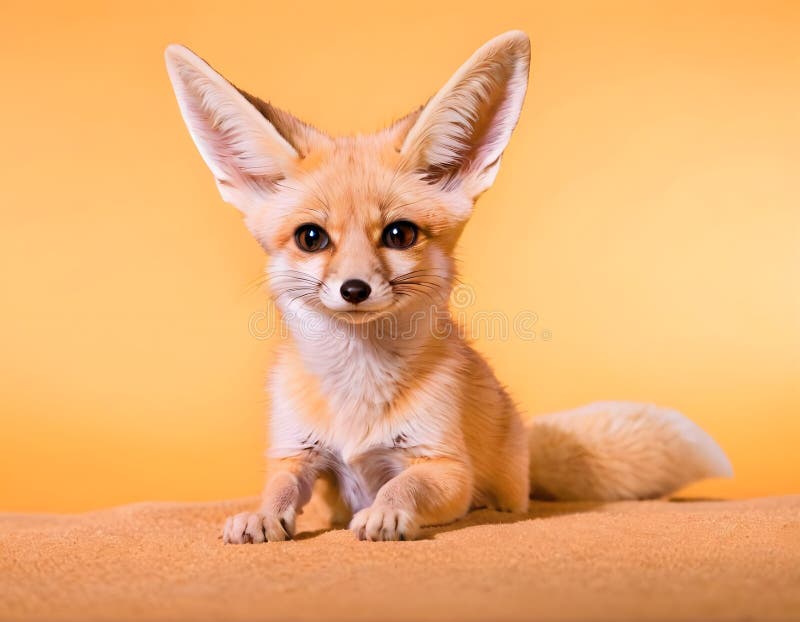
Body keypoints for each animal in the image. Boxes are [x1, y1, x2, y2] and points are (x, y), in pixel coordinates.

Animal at [164, 31, 733, 543]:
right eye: (311, 238)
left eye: (399, 234)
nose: (354, 290)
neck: (356, 394)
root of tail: (524, 443)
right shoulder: (296, 452)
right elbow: (278, 489)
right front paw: (261, 516)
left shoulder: (443, 463)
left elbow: (402, 488)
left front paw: (386, 514)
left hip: (501, 487)